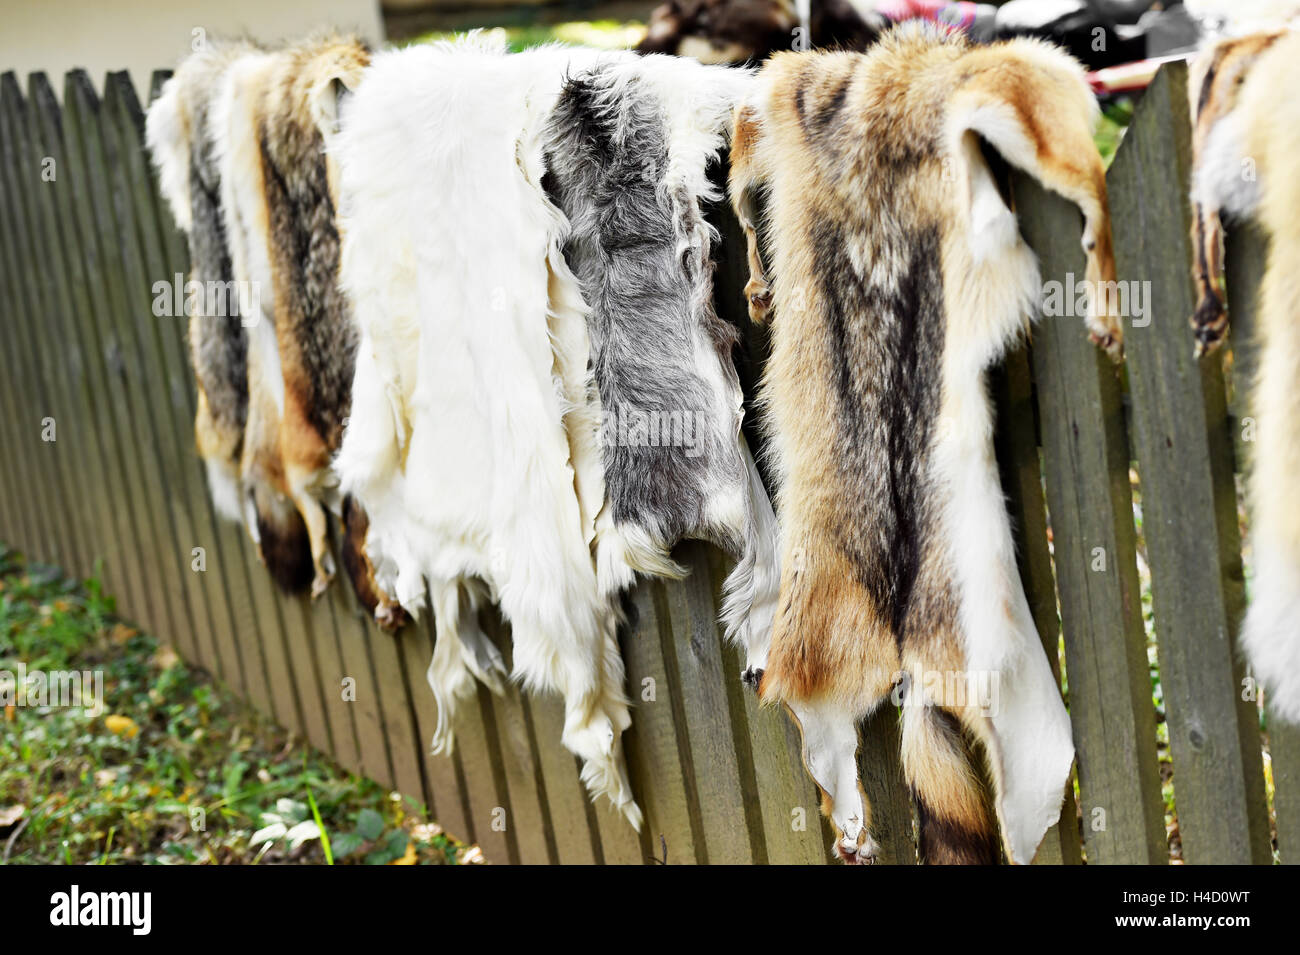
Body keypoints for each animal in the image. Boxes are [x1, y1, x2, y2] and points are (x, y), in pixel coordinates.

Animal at [729, 24, 1120, 864]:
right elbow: (1083, 178)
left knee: (828, 749)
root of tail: (905, 649)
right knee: (1028, 791)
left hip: (819, 646)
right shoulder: (1001, 86)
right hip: (1010, 677)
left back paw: (851, 828)